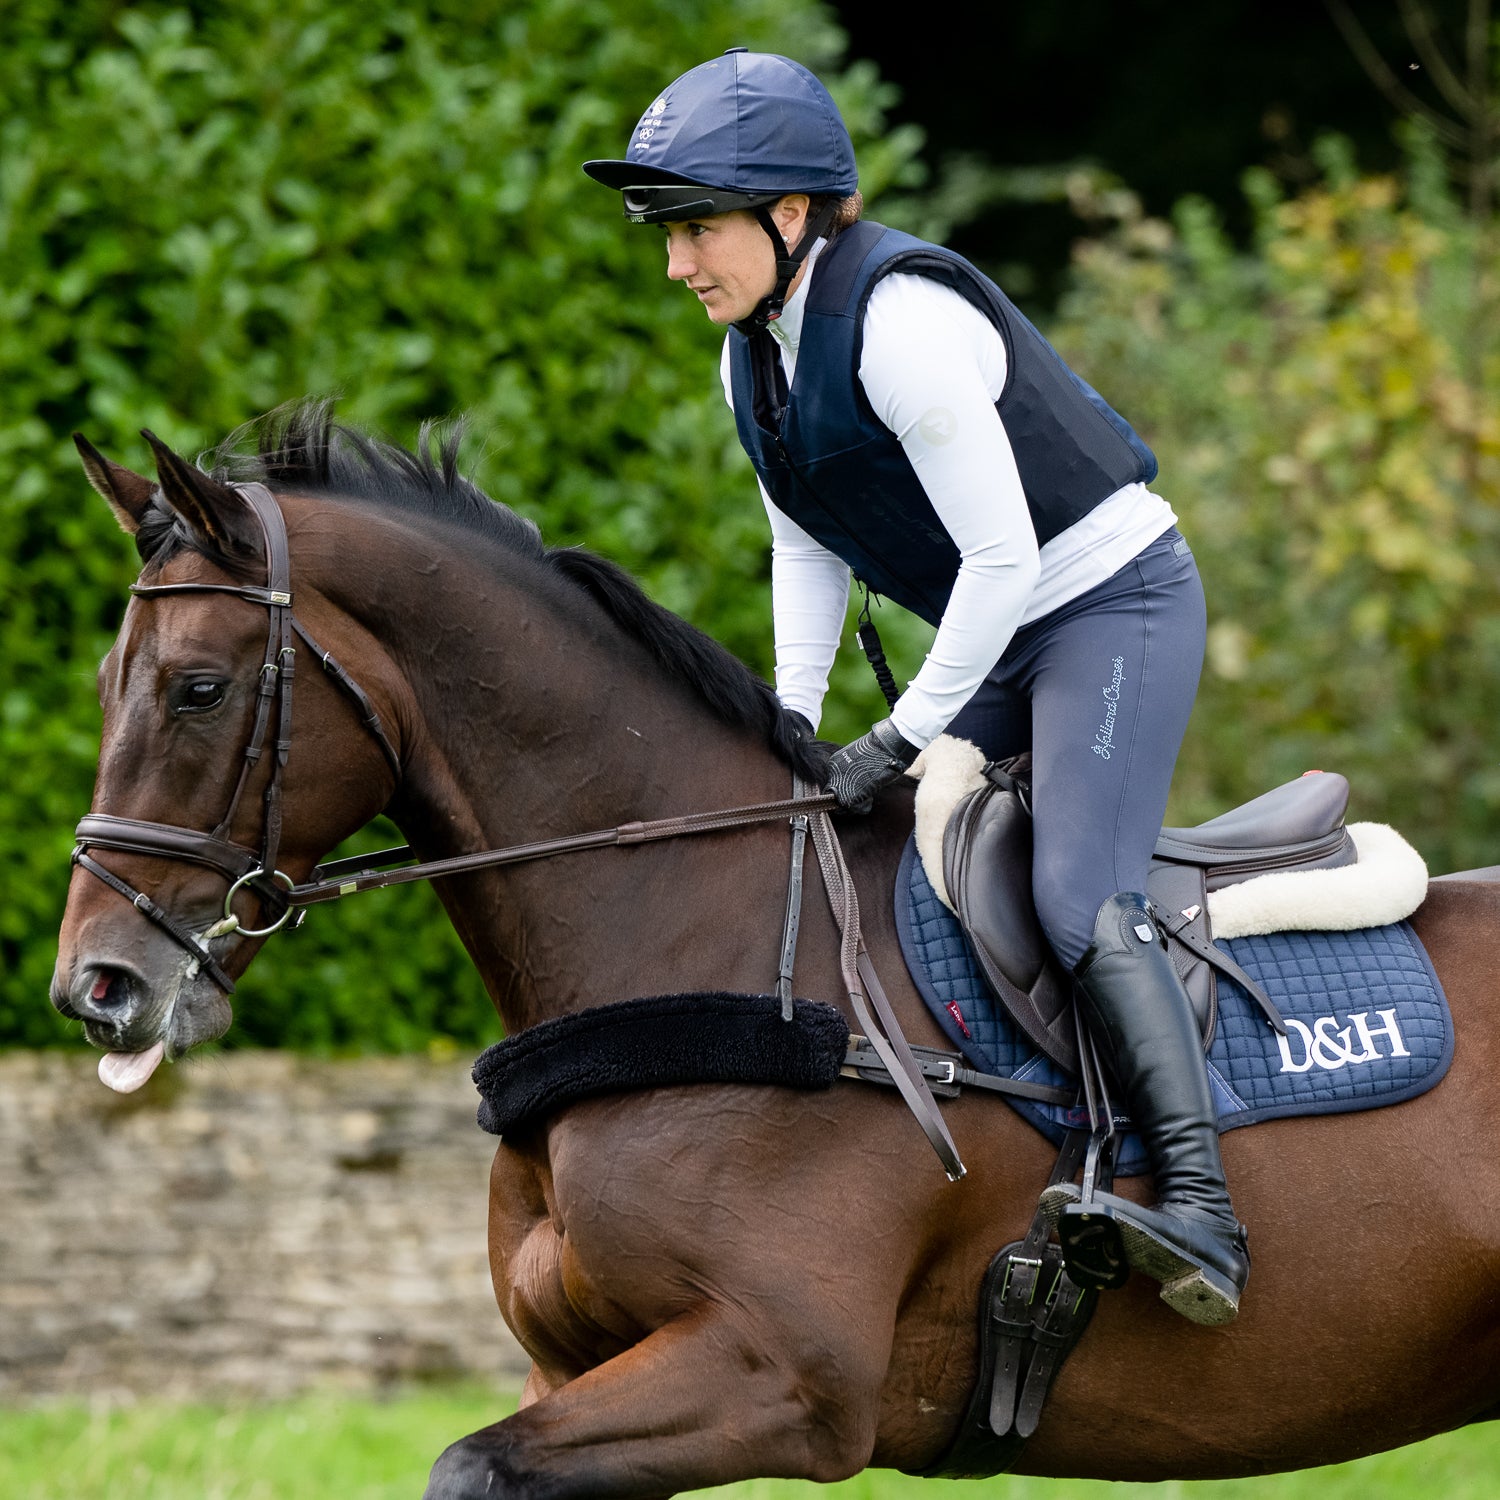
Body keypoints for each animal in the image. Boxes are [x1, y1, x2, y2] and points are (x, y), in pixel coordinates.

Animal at [51, 403, 1500, 1499]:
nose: (98, 987)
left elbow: (469, 1465)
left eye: (196, 689)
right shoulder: (575, 1369)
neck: (711, 932)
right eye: (107, 682)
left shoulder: (781, 1376)